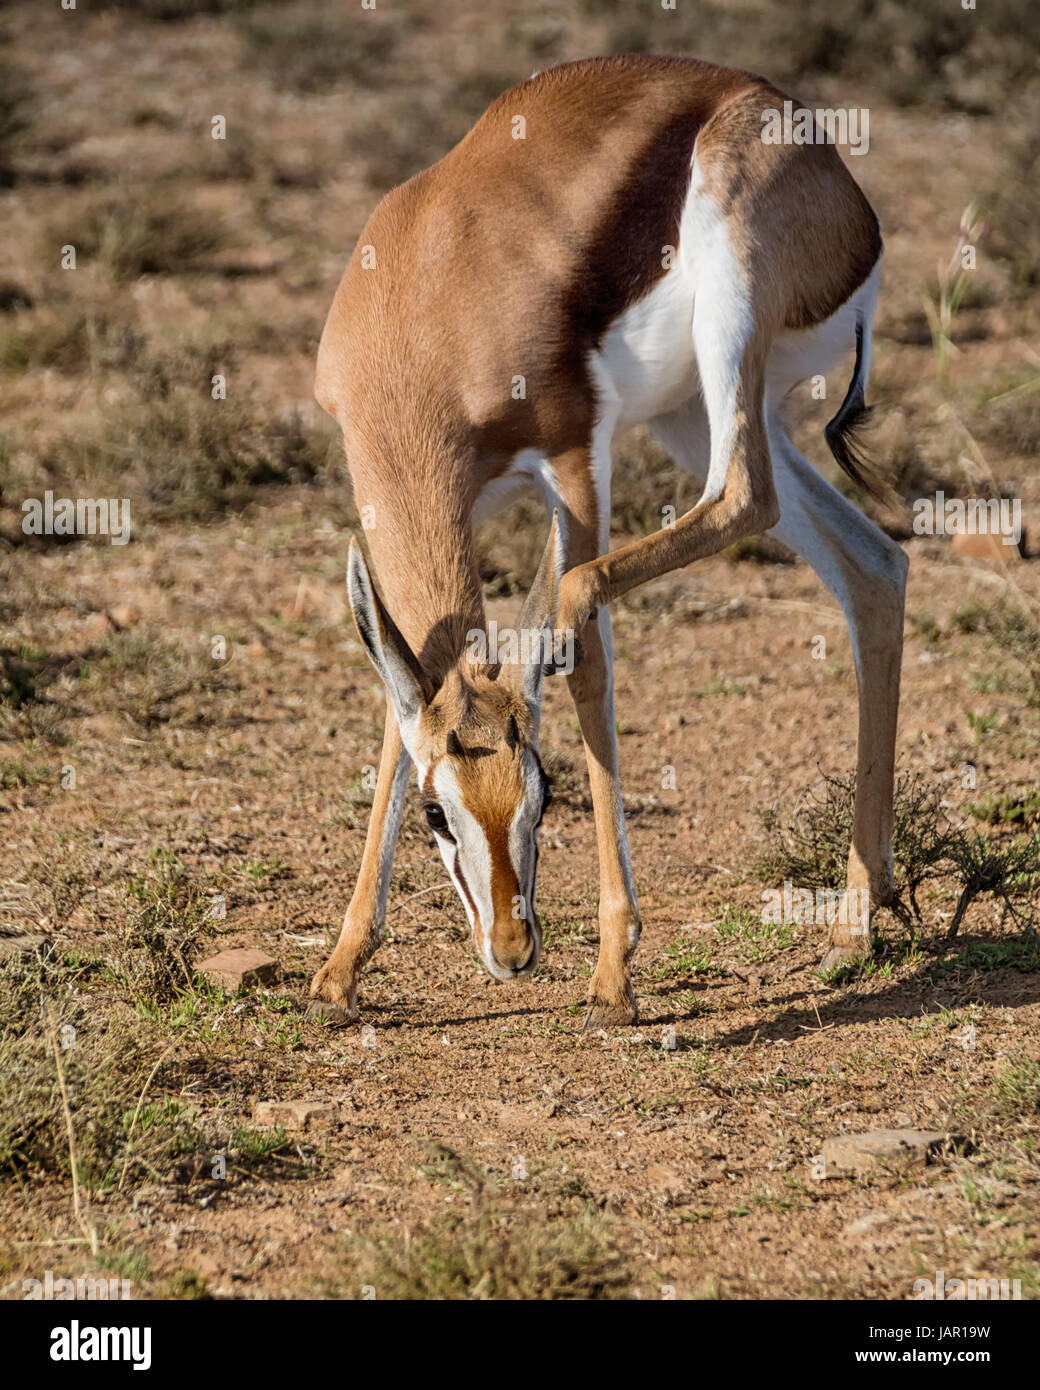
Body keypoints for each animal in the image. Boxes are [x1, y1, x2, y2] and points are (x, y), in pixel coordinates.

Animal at [310, 54, 907, 1027]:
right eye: (437, 814)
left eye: (544, 793)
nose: (512, 951)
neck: (425, 311)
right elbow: (401, 711)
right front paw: (340, 967)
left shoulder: (575, 458)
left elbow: (587, 665)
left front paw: (615, 976)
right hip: (686, 415)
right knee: (872, 564)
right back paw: (859, 923)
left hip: (724, 344)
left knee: (737, 503)